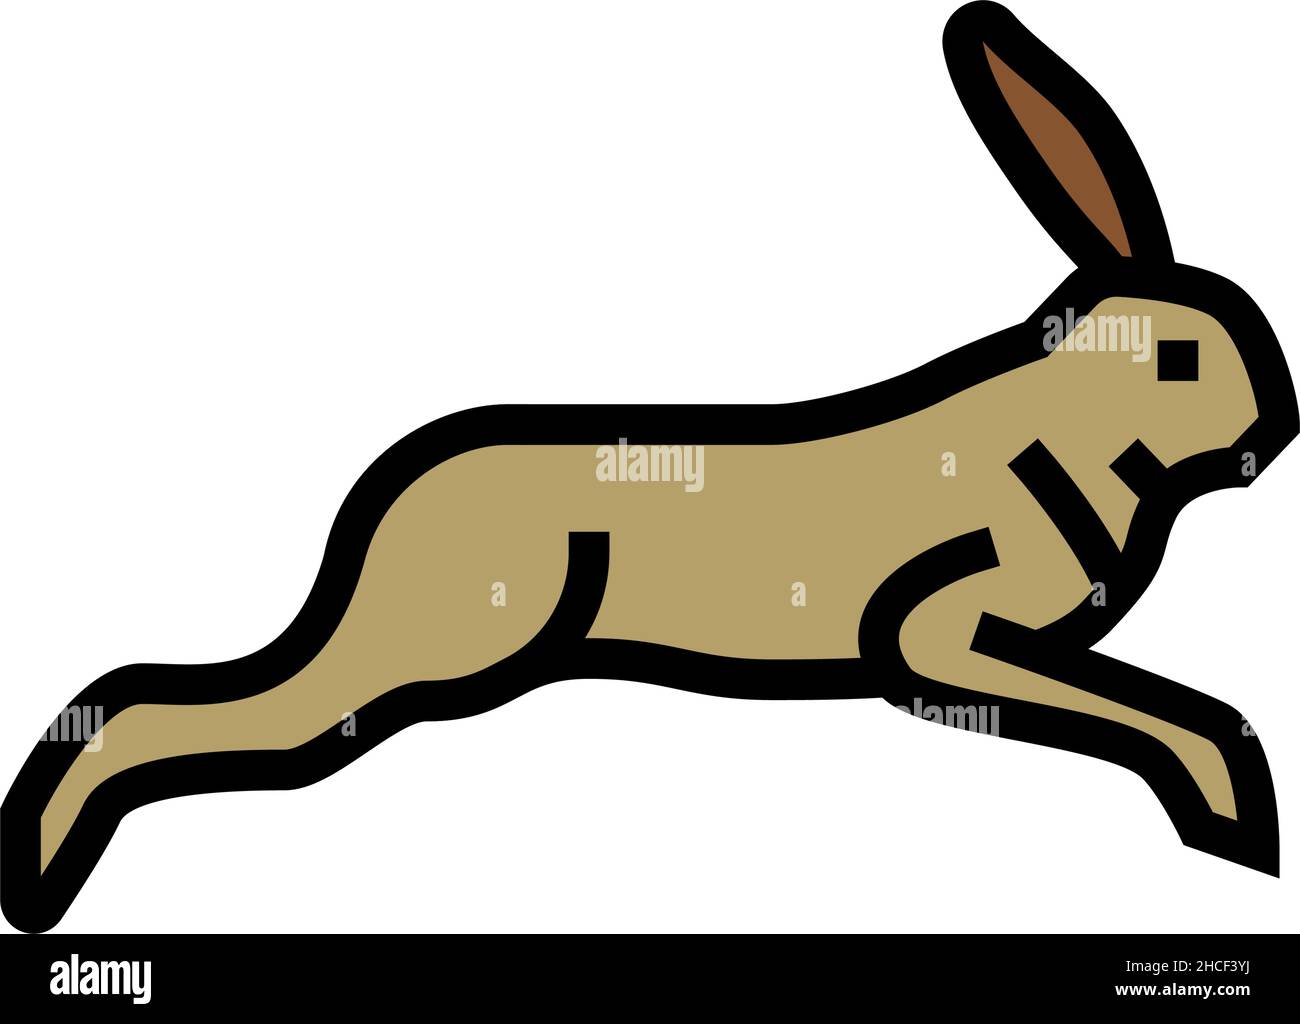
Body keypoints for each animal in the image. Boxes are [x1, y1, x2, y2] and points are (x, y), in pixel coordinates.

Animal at [3, 0, 1296, 933]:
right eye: (1183, 356)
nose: (1272, 433)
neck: (1071, 427)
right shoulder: (936, 635)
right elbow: (1131, 699)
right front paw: (1236, 808)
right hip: (429, 648)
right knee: (182, 713)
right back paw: (48, 859)